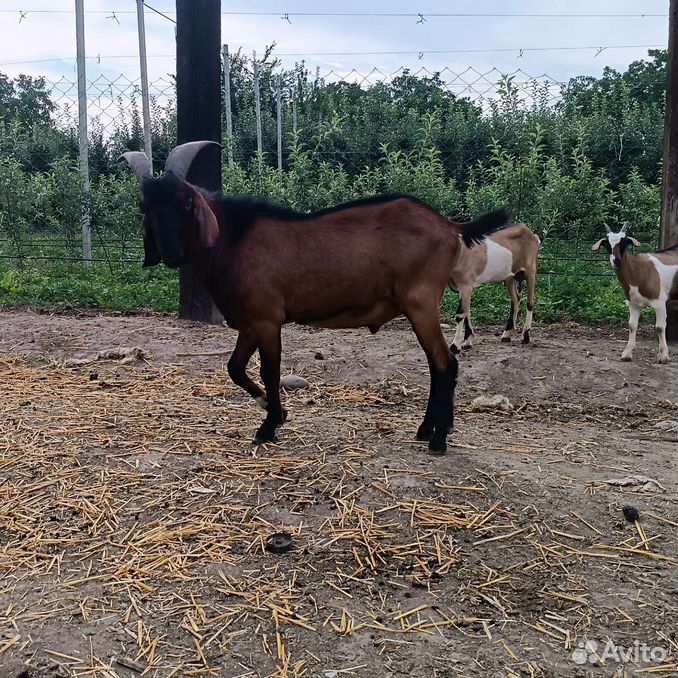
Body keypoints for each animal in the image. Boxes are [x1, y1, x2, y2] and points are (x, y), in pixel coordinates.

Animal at [121, 141, 510, 454]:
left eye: (187, 203)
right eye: (143, 206)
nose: (171, 253)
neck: (234, 240)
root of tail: (450, 226)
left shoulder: (267, 320)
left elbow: (270, 369)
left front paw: (269, 426)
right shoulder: (249, 323)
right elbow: (234, 367)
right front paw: (272, 409)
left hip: (421, 301)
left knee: (445, 364)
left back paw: (438, 439)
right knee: (437, 364)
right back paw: (427, 430)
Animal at [452, 224, 540, 354]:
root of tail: (530, 232)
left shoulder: (465, 284)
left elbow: (461, 313)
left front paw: (455, 346)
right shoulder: (464, 287)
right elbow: (467, 311)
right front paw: (467, 342)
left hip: (530, 271)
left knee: (530, 302)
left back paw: (525, 336)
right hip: (510, 277)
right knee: (516, 299)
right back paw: (507, 334)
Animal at [596, 227, 678, 366]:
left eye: (624, 243)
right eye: (607, 244)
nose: (617, 261)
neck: (639, 270)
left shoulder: (660, 302)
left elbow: (660, 327)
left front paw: (663, 357)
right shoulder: (633, 304)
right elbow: (632, 325)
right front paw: (627, 354)